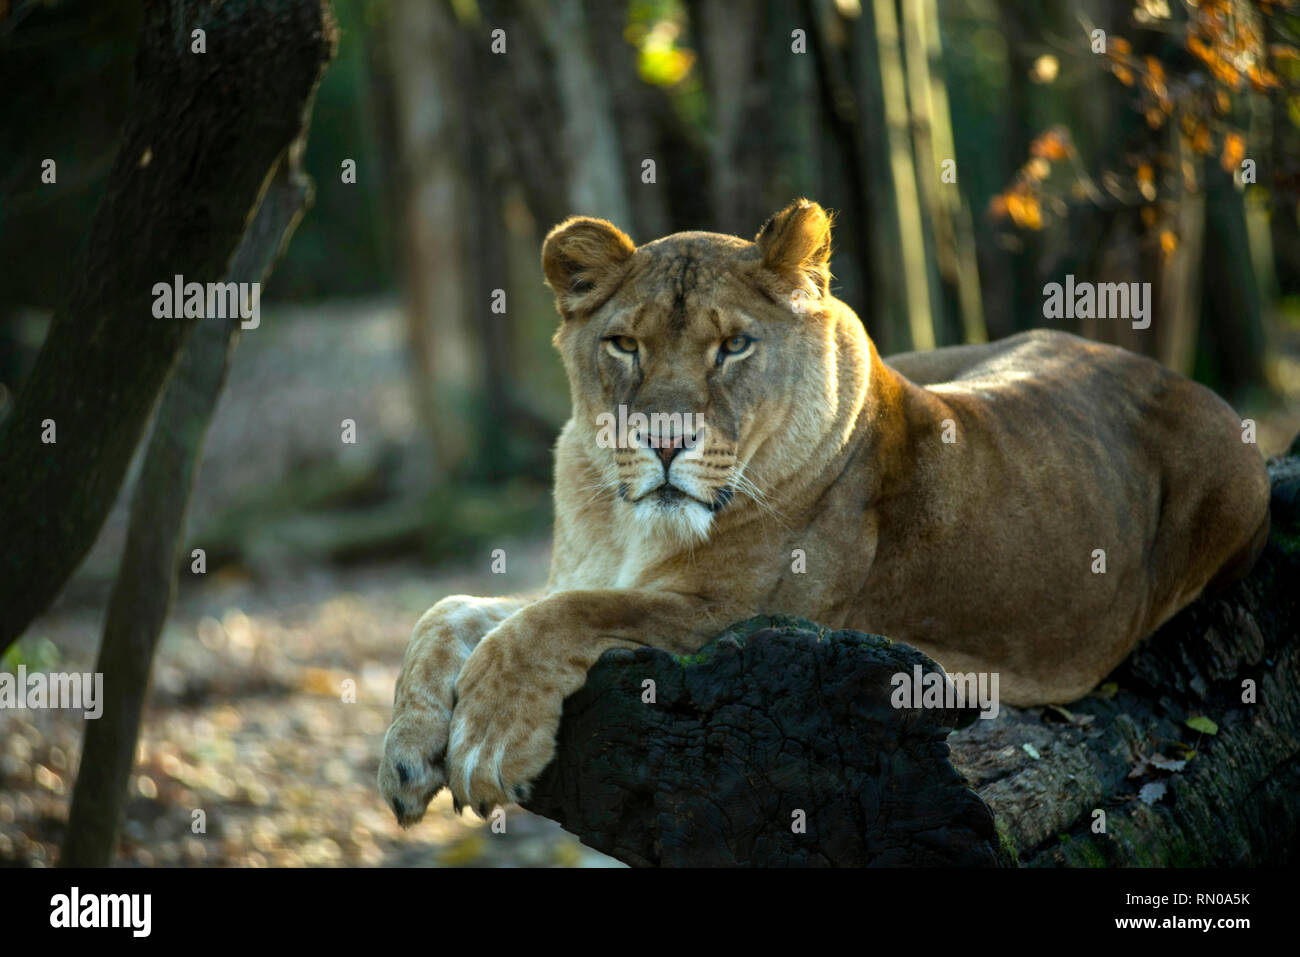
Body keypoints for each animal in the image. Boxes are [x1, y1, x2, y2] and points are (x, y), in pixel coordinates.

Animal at [379, 199, 1270, 824]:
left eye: (734, 344)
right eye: (624, 344)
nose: (663, 440)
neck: (625, 518)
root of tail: (1167, 374)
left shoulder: (736, 614)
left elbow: (562, 615)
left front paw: (488, 741)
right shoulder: (581, 571)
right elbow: (450, 609)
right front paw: (405, 756)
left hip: (1235, 485)